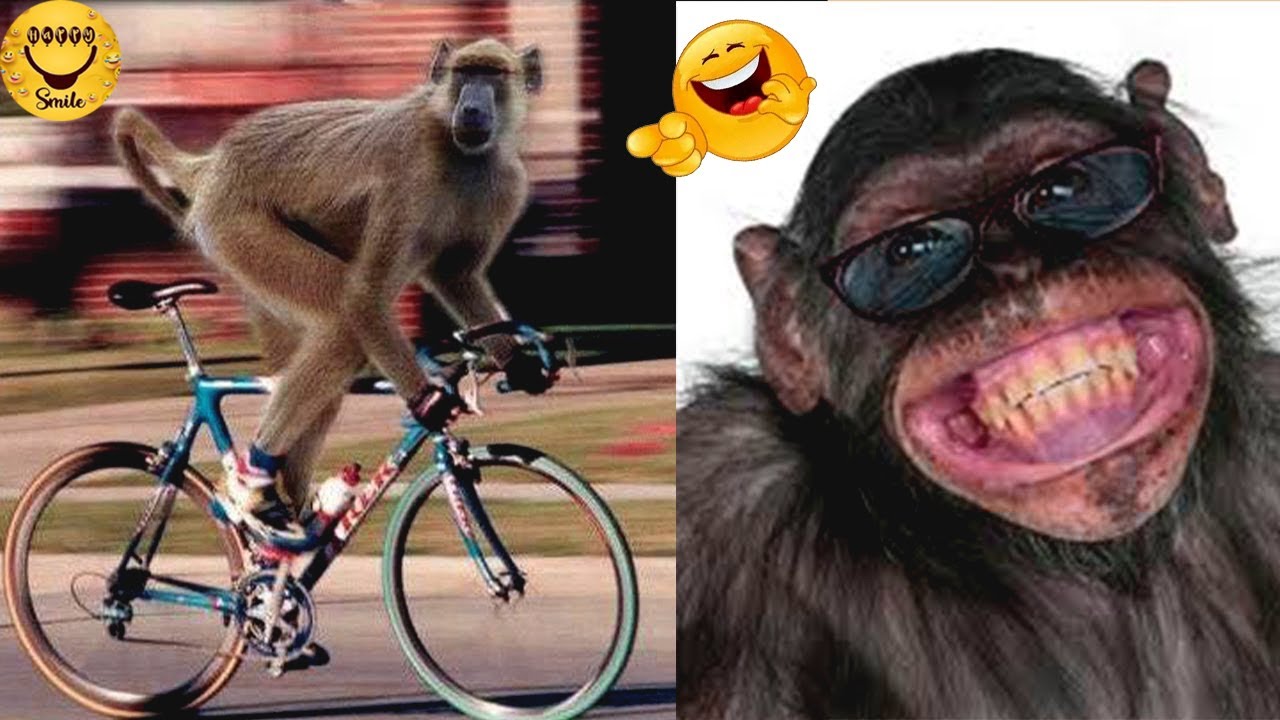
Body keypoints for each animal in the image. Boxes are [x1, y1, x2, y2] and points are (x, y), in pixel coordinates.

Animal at [112, 38, 556, 542]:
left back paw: (288, 499)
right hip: (238, 227)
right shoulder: (411, 173)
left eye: (493, 75)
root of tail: (213, 165)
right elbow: (364, 296)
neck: (463, 154)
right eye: (466, 72)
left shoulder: (506, 186)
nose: (473, 106)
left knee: (318, 345)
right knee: (344, 326)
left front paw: (520, 363)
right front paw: (432, 404)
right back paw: (255, 485)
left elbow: (456, 278)